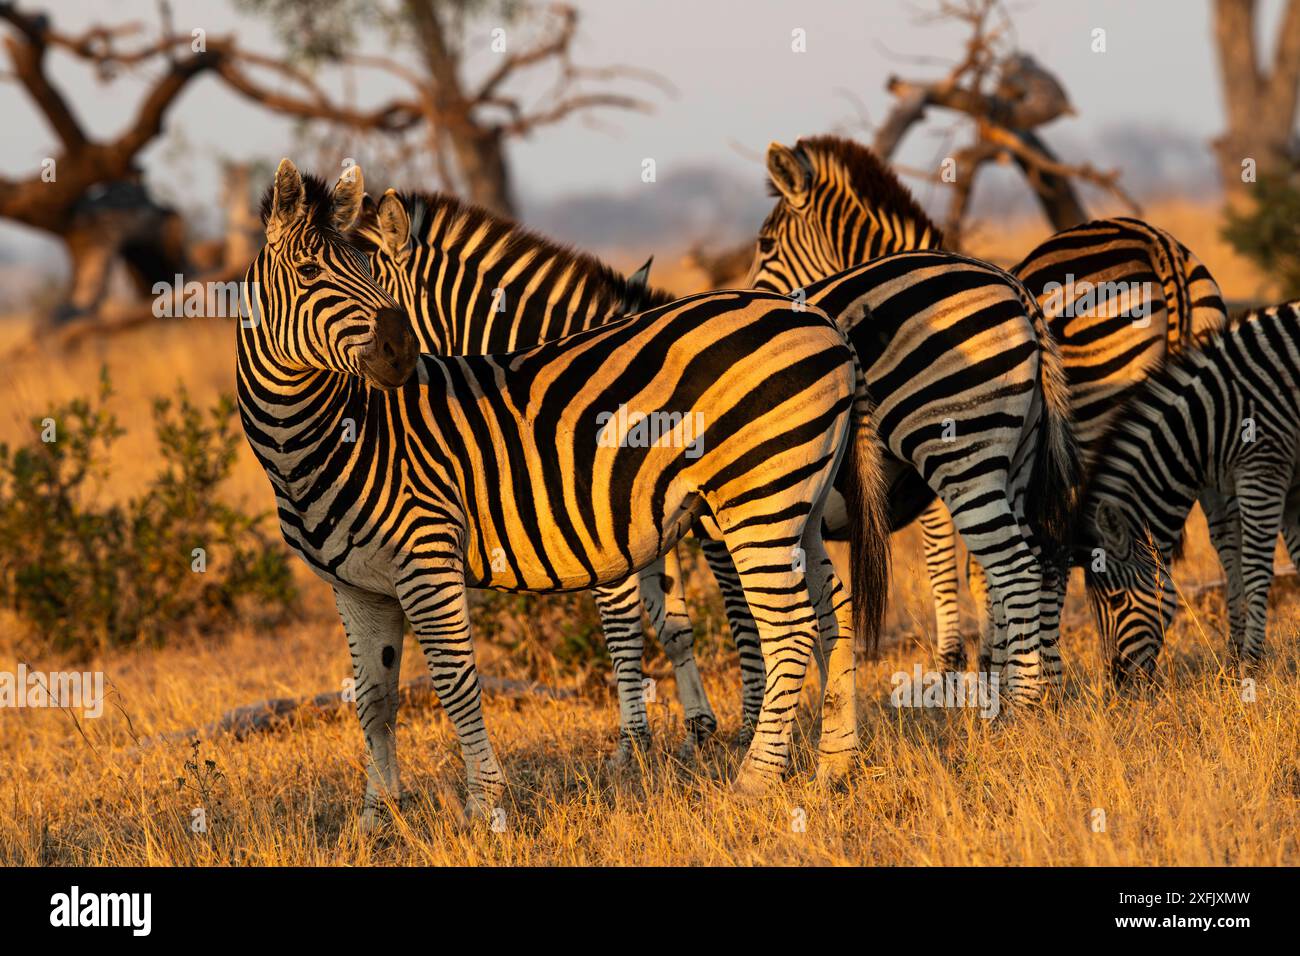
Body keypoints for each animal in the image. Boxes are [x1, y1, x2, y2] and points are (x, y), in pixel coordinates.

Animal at [238, 159, 890, 823]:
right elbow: (374, 697)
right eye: (311, 273)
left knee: (788, 628)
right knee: (833, 611)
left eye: (372, 274)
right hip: (797, 503)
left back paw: (754, 780)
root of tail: (825, 323)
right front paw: (379, 819)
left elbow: (475, 673)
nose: (399, 355)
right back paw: (832, 766)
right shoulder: (357, 584)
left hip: (757, 499)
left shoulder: (482, 542)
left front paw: (499, 803)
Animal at [748, 134, 1229, 675]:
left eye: (765, 245)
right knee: (1224, 528)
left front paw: (957, 660)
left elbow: (945, 557)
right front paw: (993, 658)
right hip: (1203, 409)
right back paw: (1242, 654)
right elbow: (981, 568)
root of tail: (1153, 243)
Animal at [1082, 302, 1300, 681]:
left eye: (1116, 600)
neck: (1212, 417)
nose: (1117, 681)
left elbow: (1256, 567)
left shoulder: (1263, 467)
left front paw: (1250, 664)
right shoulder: (1281, 482)